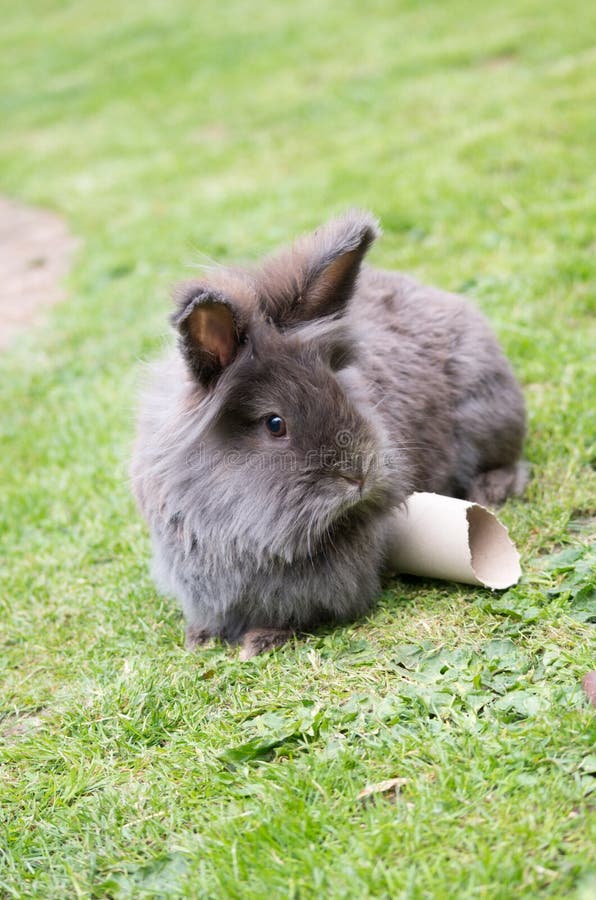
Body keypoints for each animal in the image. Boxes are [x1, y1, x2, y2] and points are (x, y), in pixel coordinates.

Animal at [131, 211, 527, 658]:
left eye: (340, 387)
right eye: (275, 424)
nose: (358, 476)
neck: (242, 536)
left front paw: (260, 640)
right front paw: (197, 639)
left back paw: (491, 490)